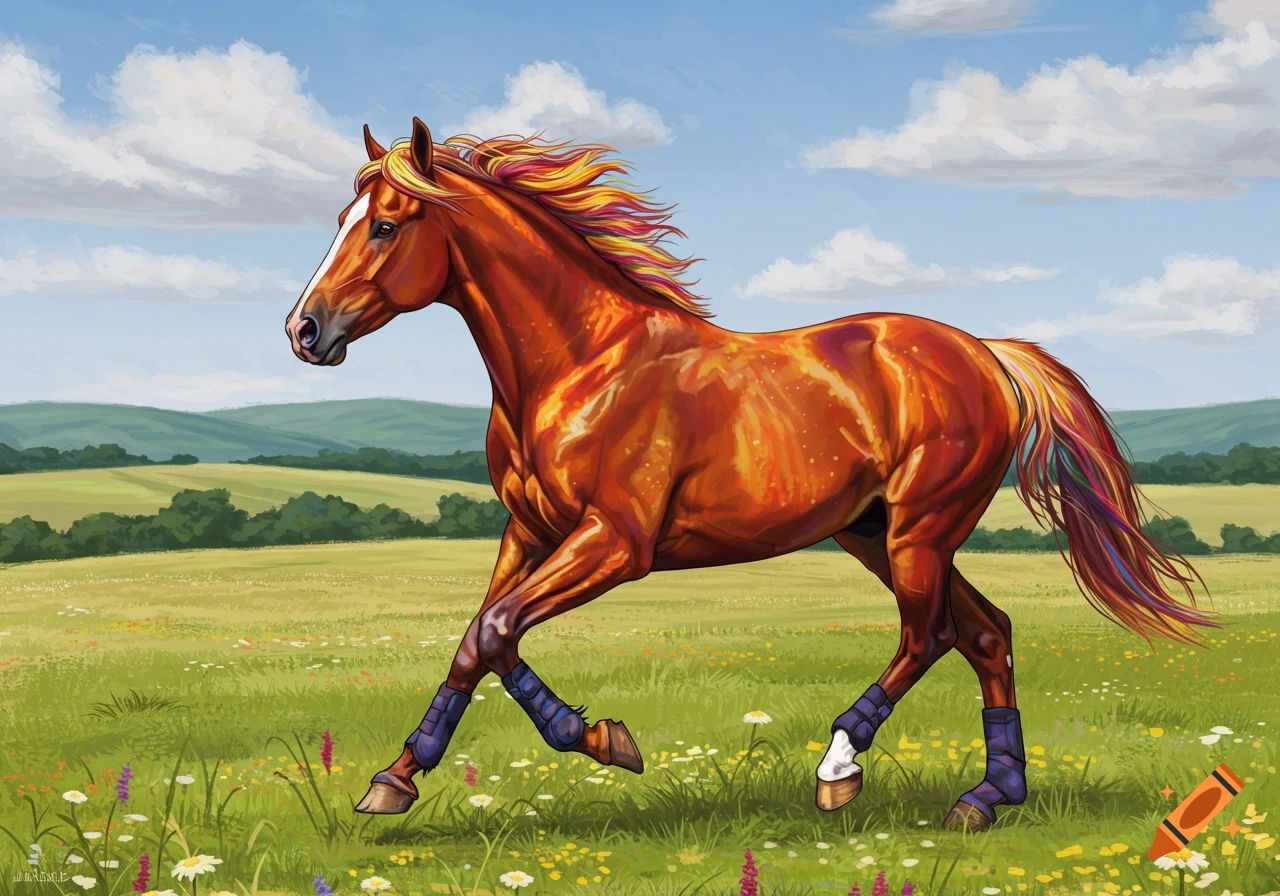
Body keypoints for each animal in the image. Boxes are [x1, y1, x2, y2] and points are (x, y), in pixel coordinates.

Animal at [284, 118, 1213, 831]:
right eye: (344, 217)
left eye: (385, 226)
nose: (304, 330)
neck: (581, 366)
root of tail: (984, 352)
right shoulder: (530, 531)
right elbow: (478, 640)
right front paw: (398, 777)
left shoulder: (614, 543)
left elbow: (495, 630)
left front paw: (604, 741)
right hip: (874, 530)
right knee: (986, 632)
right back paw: (988, 797)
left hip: (920, 528)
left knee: (931, 635)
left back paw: (841, 767)